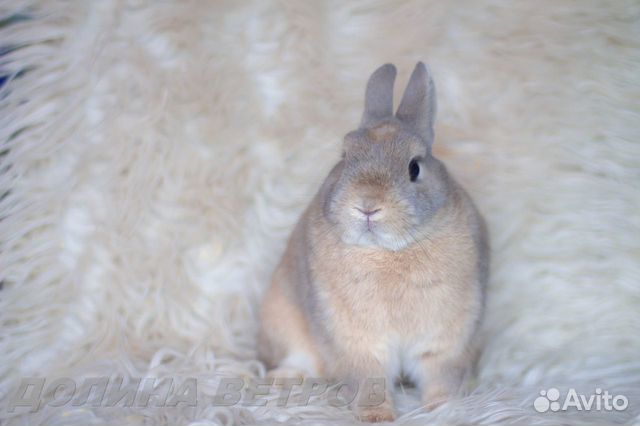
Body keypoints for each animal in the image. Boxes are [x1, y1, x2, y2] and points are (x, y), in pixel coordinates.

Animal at [258, 62, 489, 423]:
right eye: (345, 157)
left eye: (414, 167)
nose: (367, 205)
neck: (389, 252)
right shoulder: (357, 345)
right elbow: (370, 381)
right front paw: (377, 418)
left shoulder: (446, 342)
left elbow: (441, 379)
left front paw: (444, 411)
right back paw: (284, 380)